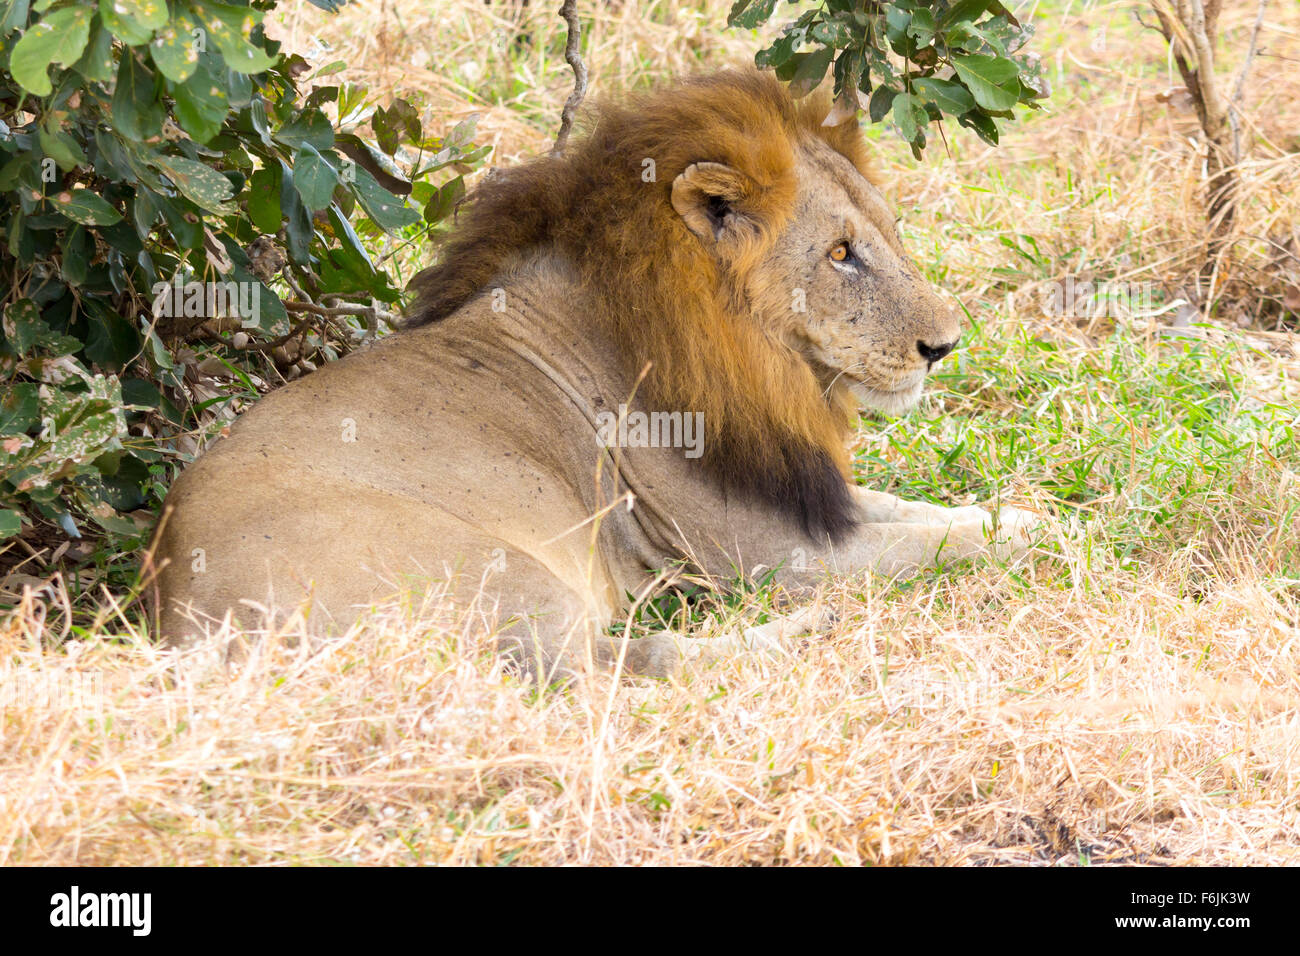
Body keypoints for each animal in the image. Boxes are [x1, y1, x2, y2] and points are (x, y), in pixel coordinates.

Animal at [151, 70, 1036, 678]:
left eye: (886, 234)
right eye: (842, 254)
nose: (945, 345)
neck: (756, 357)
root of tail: (182, 620)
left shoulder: (801, 494)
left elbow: (913, 510)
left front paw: (1014, 508)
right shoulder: (762, 552)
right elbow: (931, 545)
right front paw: (1038, 530)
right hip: (511, 574)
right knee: (621, 669)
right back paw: (802, 633)